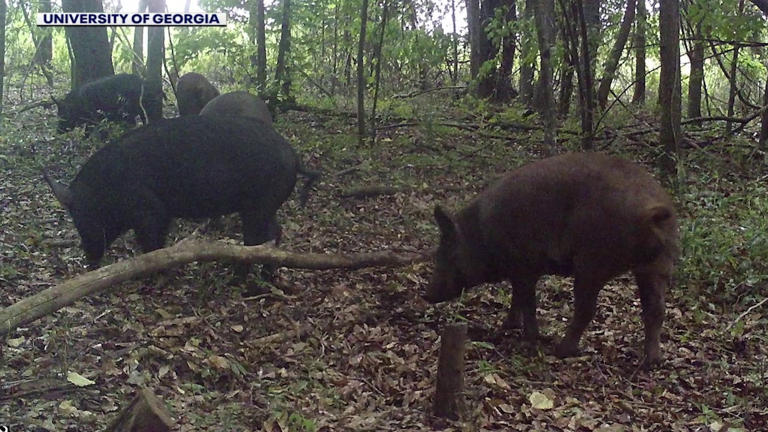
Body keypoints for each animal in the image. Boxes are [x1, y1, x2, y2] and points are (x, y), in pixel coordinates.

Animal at [43, 115, 312, 274]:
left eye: (81, 219)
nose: (89, 261)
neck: (107, 188)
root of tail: (293, 155)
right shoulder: (162, 214)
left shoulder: (149, 210)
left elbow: (149, 244)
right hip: (267, 205)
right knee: (275, 233)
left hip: (258, 205)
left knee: (255, 241)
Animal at [424, 153, 679, 367]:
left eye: (446, 253)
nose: (426, 294)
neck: (482, 234)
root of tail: (652, 211)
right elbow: (517, 298)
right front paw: (508, 325)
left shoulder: (524, 265)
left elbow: (528, 301)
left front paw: (530, 336)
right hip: (657, 266)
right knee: (656, 309)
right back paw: (652, 362)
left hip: (593, 262)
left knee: (587, 309)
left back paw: (561, 350)